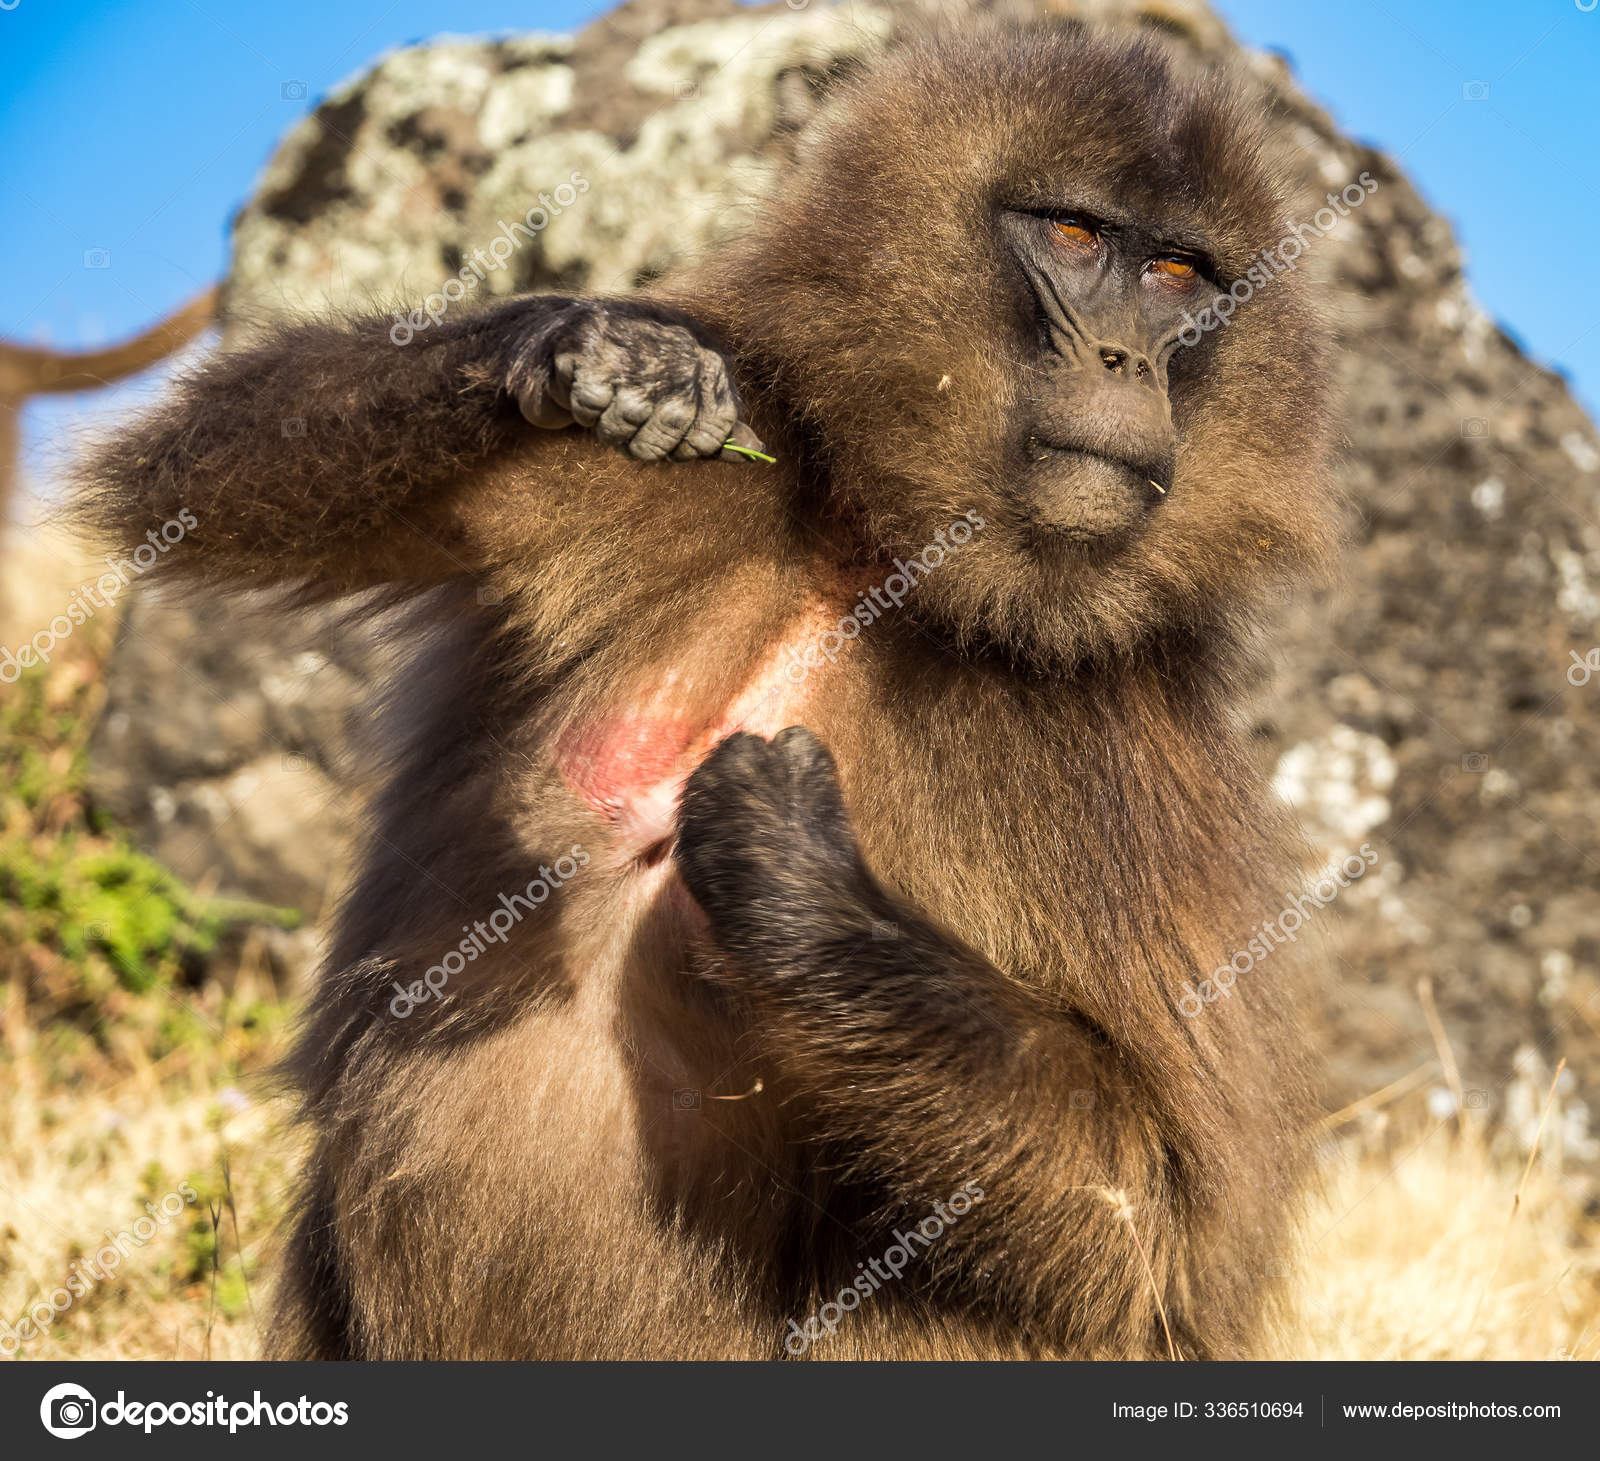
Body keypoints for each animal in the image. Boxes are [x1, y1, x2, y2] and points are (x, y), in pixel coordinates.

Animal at [72, 22, 1338, 1360]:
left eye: (1182, 276)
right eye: (1081, 237)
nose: (1125, 361)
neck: (893, 562)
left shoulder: (1128, 741)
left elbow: (1158, 1232)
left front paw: (787, 869)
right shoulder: (735, 441)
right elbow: (194, 473)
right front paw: (585, 347)